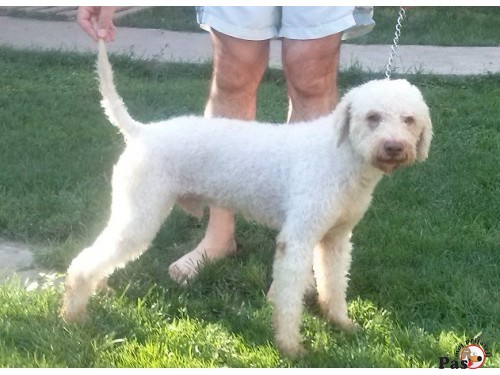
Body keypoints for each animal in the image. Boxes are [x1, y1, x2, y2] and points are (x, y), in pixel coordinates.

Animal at [61, 39, 430, 356]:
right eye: (372, 117)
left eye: (409, 120)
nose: (394, 147)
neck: (341, 155)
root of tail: (142, 131)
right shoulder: (297, 240)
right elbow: (288, 300)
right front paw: (290, 346)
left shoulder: (335, 240)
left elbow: (334, 284)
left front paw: (341, 322)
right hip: (139, 215)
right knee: (84, 262)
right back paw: (74, 314)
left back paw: (98, 290)